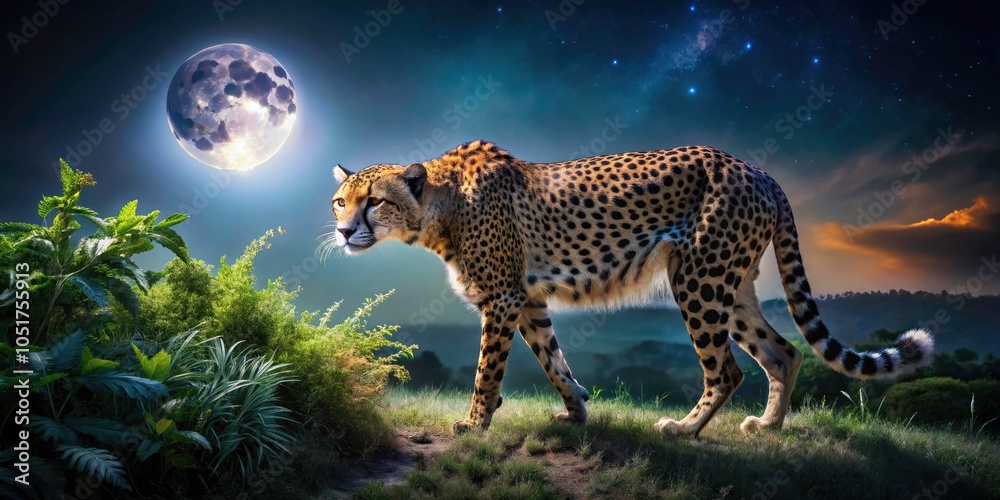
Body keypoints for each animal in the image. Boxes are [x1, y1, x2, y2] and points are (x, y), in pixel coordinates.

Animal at [326, 139, 933, 437]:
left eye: (373, 201)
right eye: (339, 201)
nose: (344, 230)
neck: (439, 205)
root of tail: (758, 170)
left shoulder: (502, 299)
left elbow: (486, 372)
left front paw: (475, 425)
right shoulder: (528, 300)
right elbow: (554, 360)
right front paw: (577, 413)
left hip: (698, 279)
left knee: (728, 369)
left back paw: (685, 429)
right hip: (732, 285)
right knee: (784, 352)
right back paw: (768, 426)